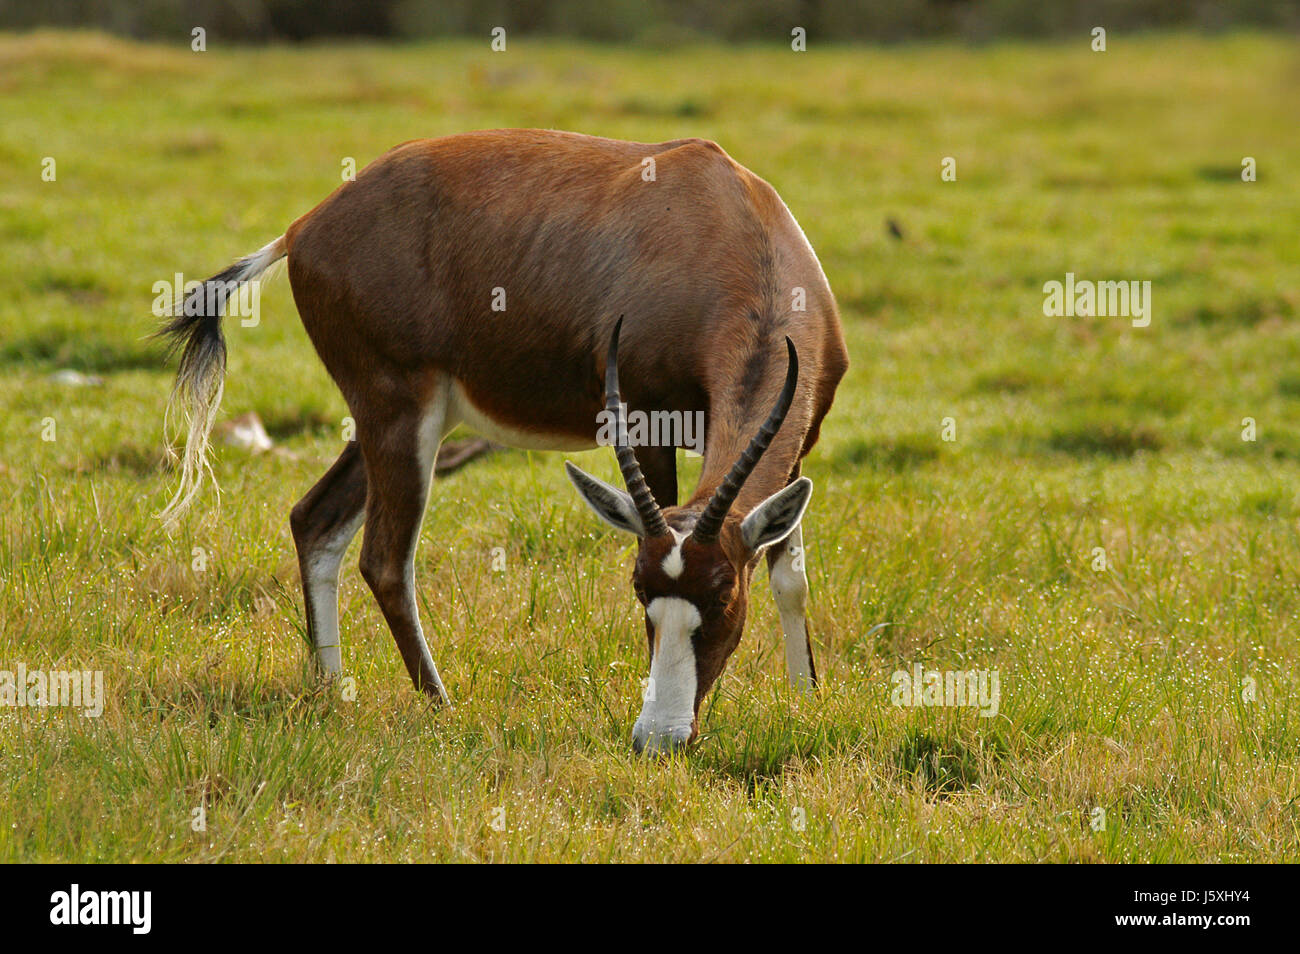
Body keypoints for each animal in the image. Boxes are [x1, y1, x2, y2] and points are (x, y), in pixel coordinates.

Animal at [159, 129, 848, 754]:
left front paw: (804, 700)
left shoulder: (798, 446)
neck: (721, 217)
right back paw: (442, 706)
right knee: (384, 559)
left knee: (315, 519)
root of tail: (302, 229)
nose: (658, 741)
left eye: (723, 592)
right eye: (640, 590)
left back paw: (332, 693)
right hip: (400, 414)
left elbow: (790, 577)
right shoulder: (650, 425)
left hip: (406, 420)